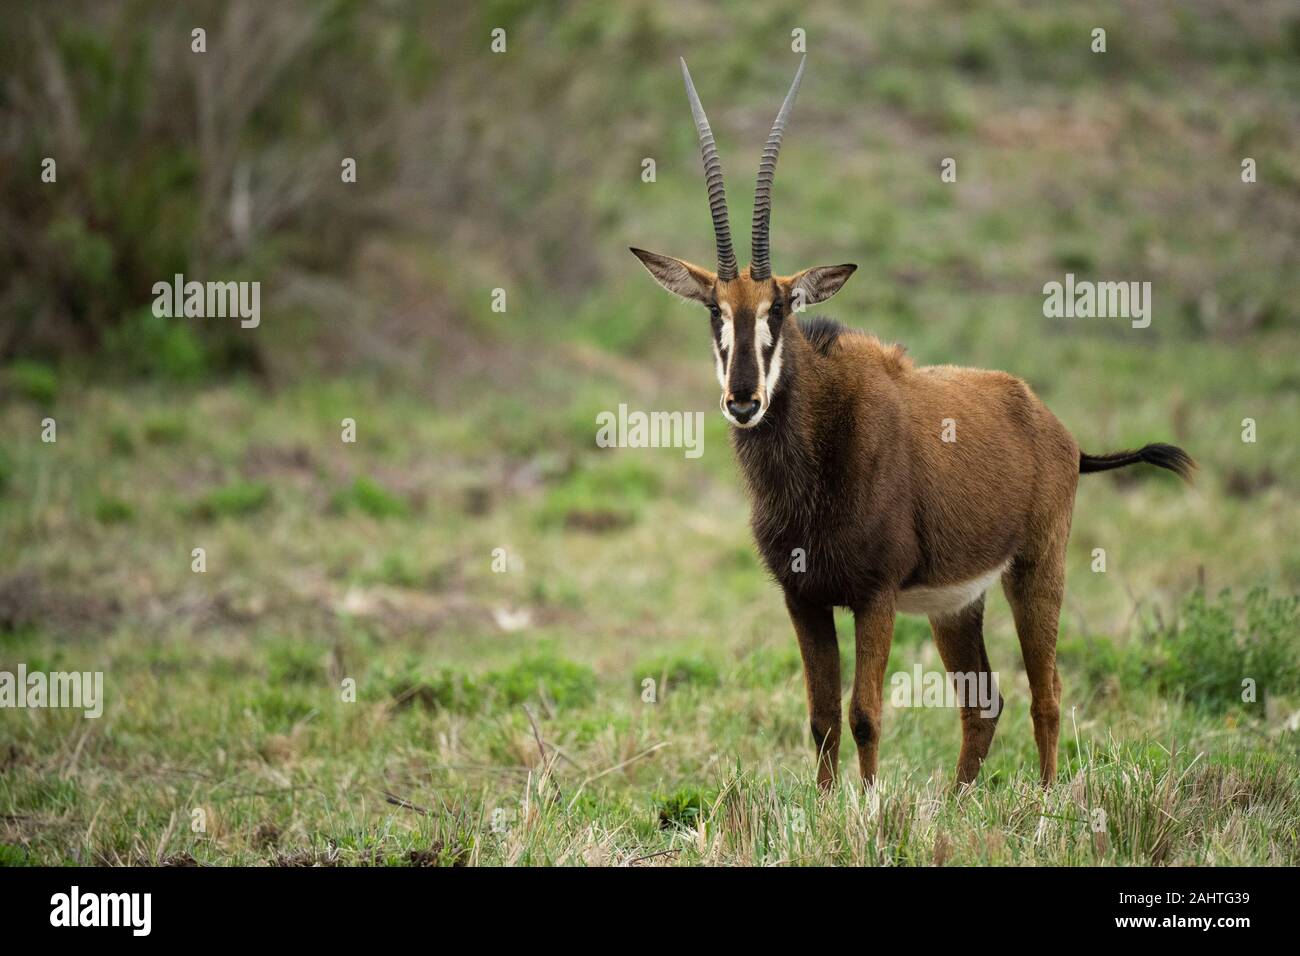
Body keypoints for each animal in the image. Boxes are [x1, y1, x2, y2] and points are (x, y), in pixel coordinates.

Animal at [630, 57, 1195, 790]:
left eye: (779, 307)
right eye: (715, 311)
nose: (744, 400)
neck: (822, 440)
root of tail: (1057, 431)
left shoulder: (874, 596)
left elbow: (865, 713)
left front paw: (867, 806)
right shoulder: (804, 598)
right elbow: (821, 717)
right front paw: (826, 806)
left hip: (1036, 568)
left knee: (1046, 694)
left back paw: (1047, 802)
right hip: (957, 604)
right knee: (984, 703)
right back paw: (960, 802)